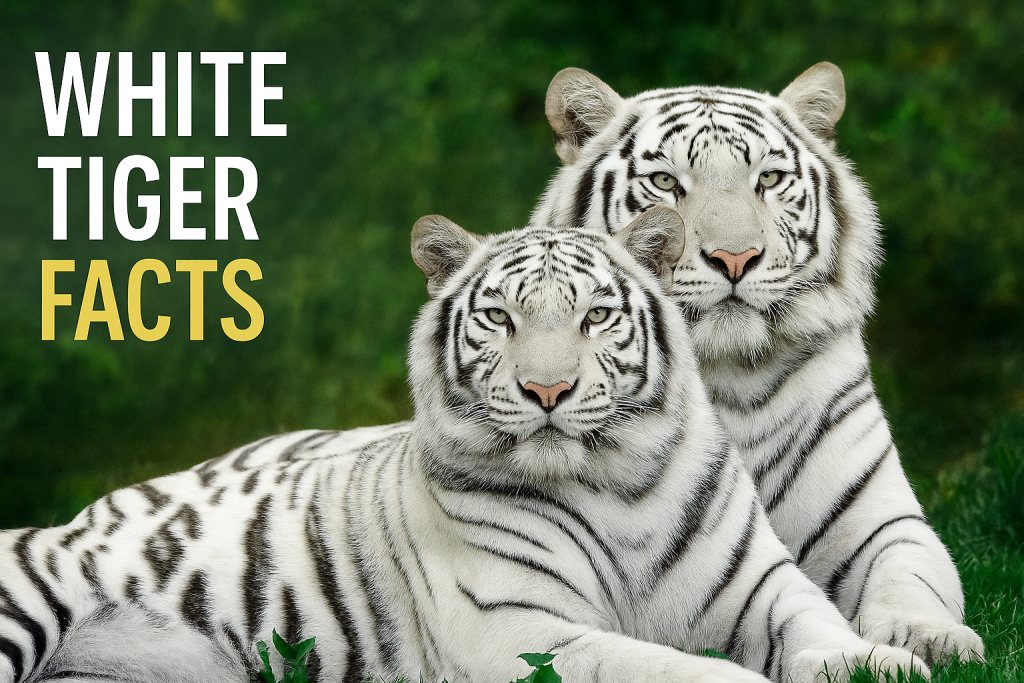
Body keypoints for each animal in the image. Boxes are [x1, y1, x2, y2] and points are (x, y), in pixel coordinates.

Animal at [0, 209, 928, 683]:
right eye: (501, 318)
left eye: (596, 315)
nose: (547, 392)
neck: (618, 484)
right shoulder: (521, 629)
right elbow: (688, 672)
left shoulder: (764, 587)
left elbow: (818, 625)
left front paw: (883, 661)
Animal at [531, 62, 984, 664]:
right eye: (666, 183)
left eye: (767, 180)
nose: (735, 257)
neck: (730, 375)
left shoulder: (879, 519)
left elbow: (909, 576)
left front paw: (930, 637)